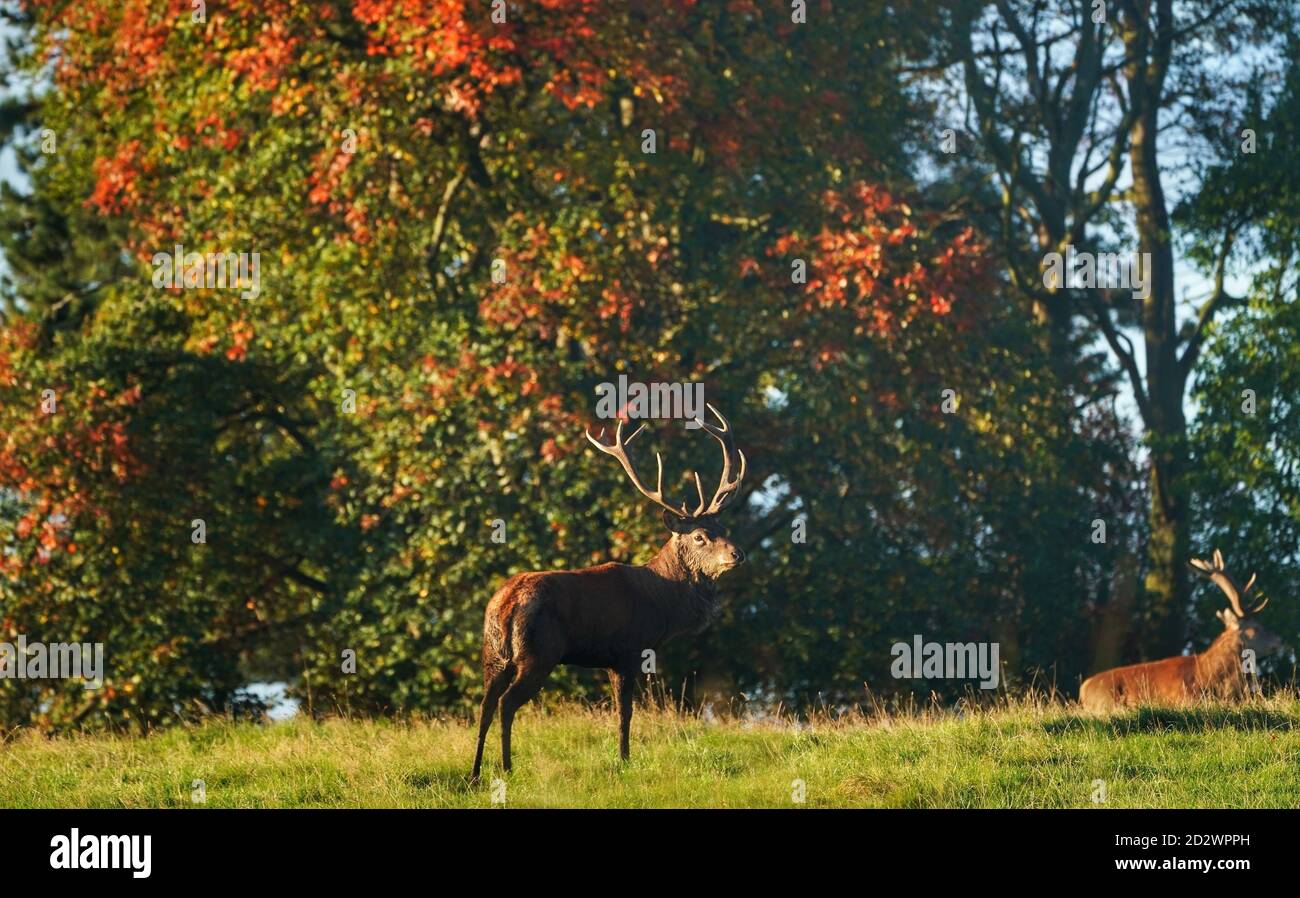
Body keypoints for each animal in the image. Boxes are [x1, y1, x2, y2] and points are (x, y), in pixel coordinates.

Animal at [470, 404, 748, 784]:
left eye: (723, 527)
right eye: (699, 536)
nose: (737, 554)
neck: (662, 603)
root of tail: (506, 604)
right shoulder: (627, 651)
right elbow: (625, 713)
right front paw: (625, 760)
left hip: (493, 653)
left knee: (484, 704)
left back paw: (474, 773)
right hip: (539, 653)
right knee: (506, 703)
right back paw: (507, 767)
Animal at [1079, 550, 1283, 711]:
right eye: (1256, 627)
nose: (1279, 641)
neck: (1209, 676)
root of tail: (1084, 688)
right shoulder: (1185, 698)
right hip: (1107, 702)